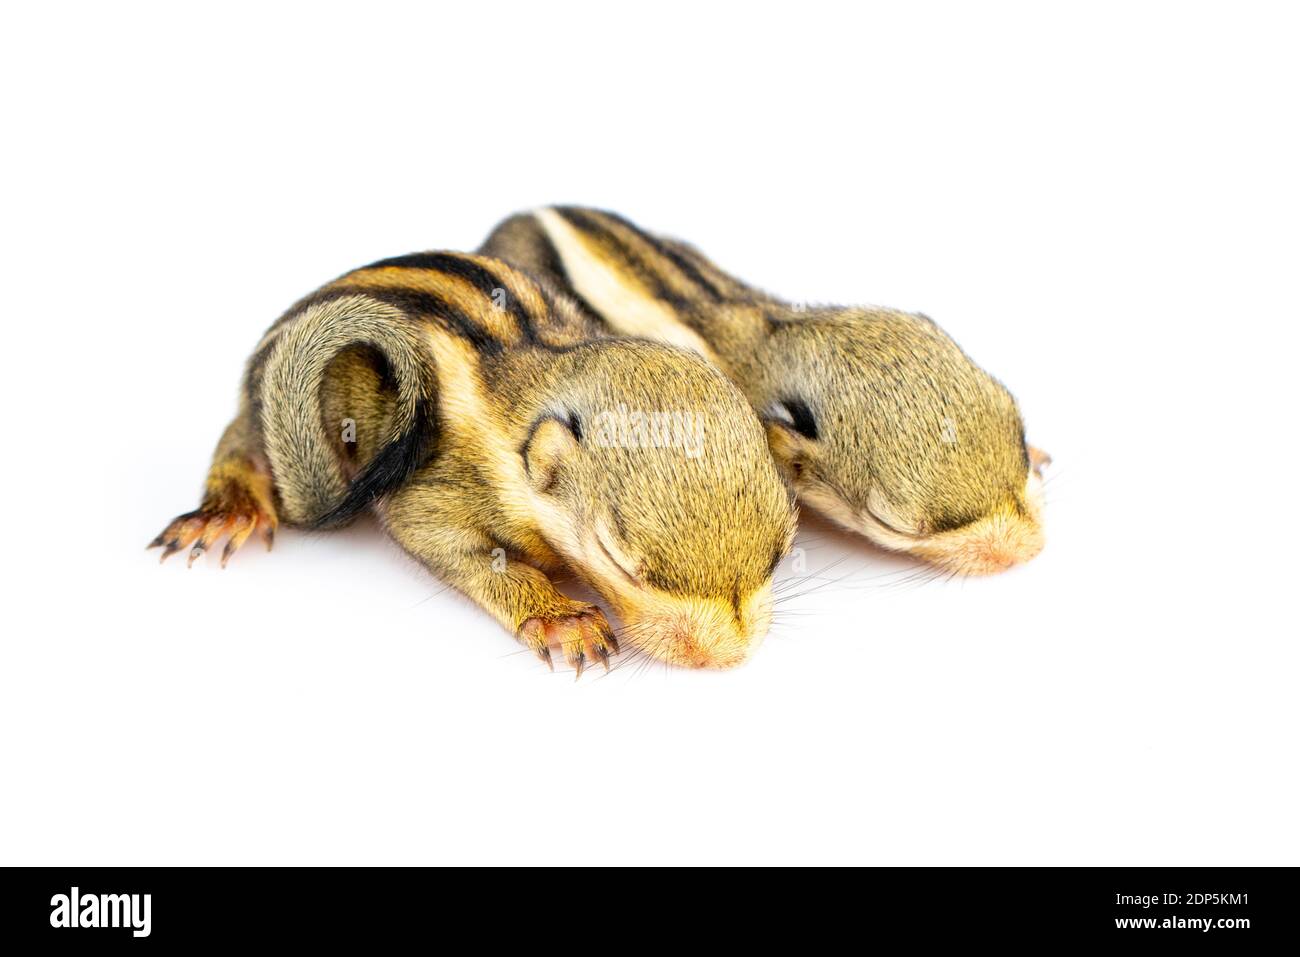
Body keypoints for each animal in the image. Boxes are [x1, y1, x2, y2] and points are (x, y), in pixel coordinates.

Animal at [150, 251, 797, 673]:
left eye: (782, 553)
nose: (728, 656)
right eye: (619, 562)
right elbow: (458, 549)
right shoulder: (438, 492)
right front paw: (560, 617)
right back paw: (227, 510)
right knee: (238, 444)